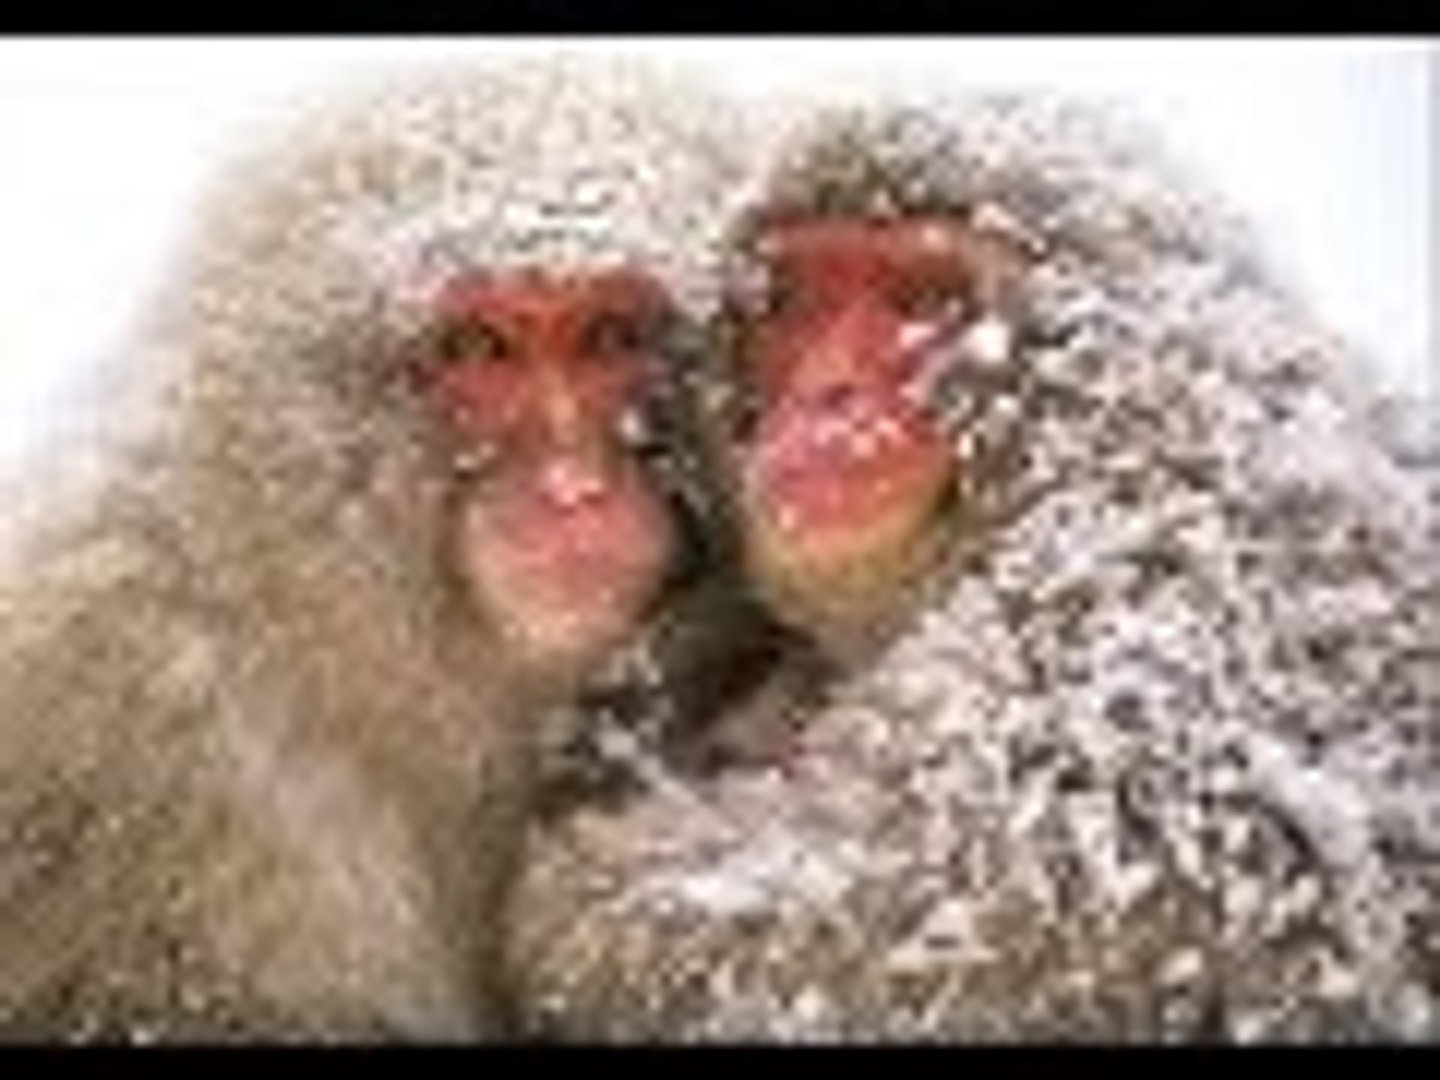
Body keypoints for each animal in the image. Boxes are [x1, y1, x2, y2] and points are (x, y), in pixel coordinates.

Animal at [509, 90, 1440, 1041]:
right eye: (798, 302)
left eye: (925, 300)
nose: (829, 394)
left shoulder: (1130, 616)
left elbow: (971, 885)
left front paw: (572, 892)